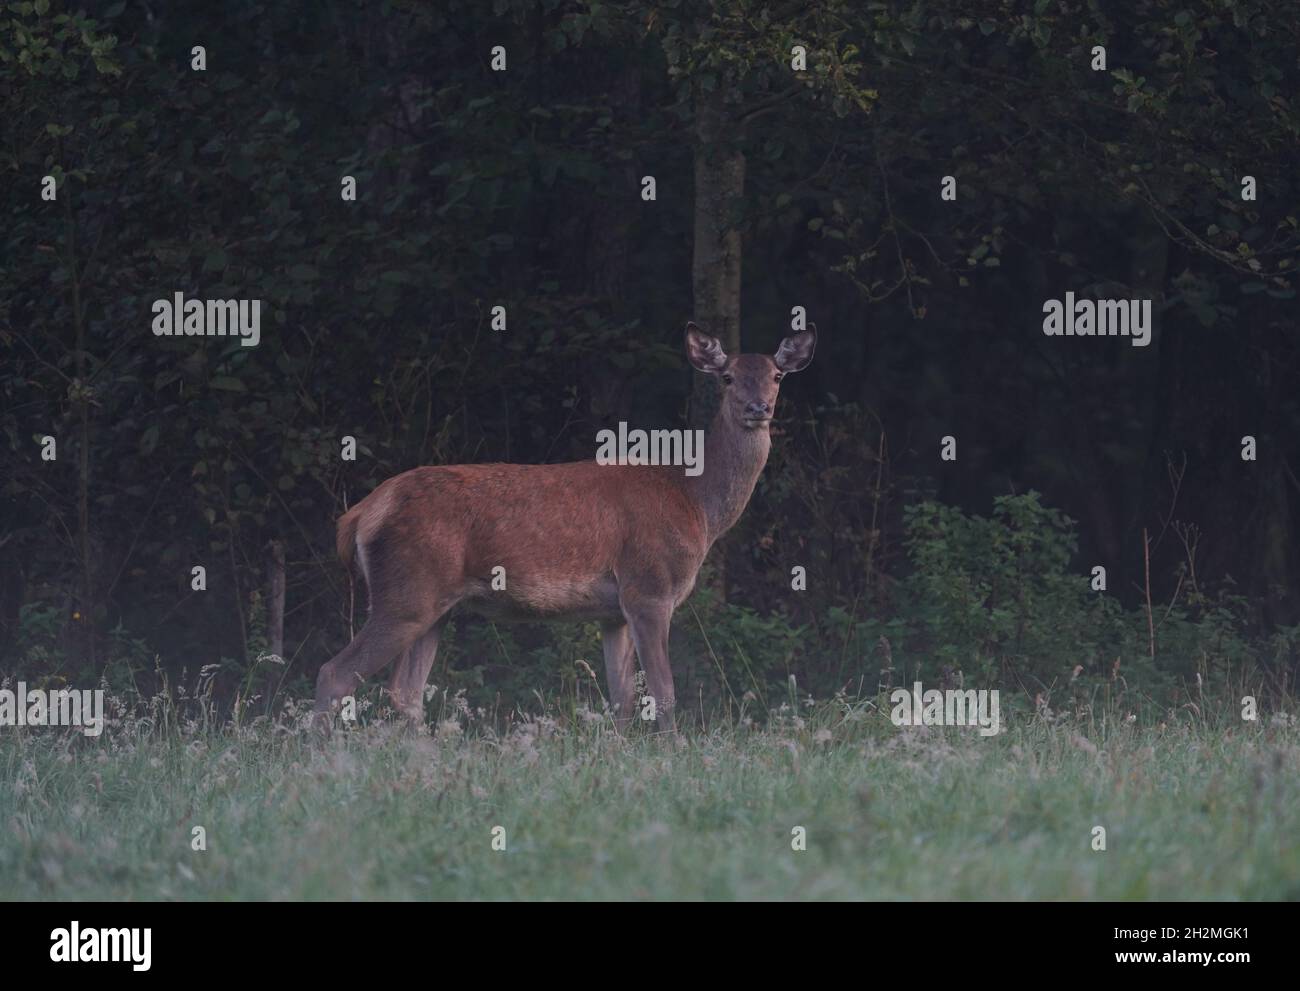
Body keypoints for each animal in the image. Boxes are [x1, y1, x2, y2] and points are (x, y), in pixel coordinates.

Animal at [313, 321, 816, 733]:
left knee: (405, 692)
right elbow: (665, 694)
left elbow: (623, 700)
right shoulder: (649, 587)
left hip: (435, 607)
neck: (696, 502)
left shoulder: (614, 612)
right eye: (728, 376)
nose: (758, 407)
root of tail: (360, 514)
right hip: (407, 591)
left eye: (776, 375)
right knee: (335, 673)